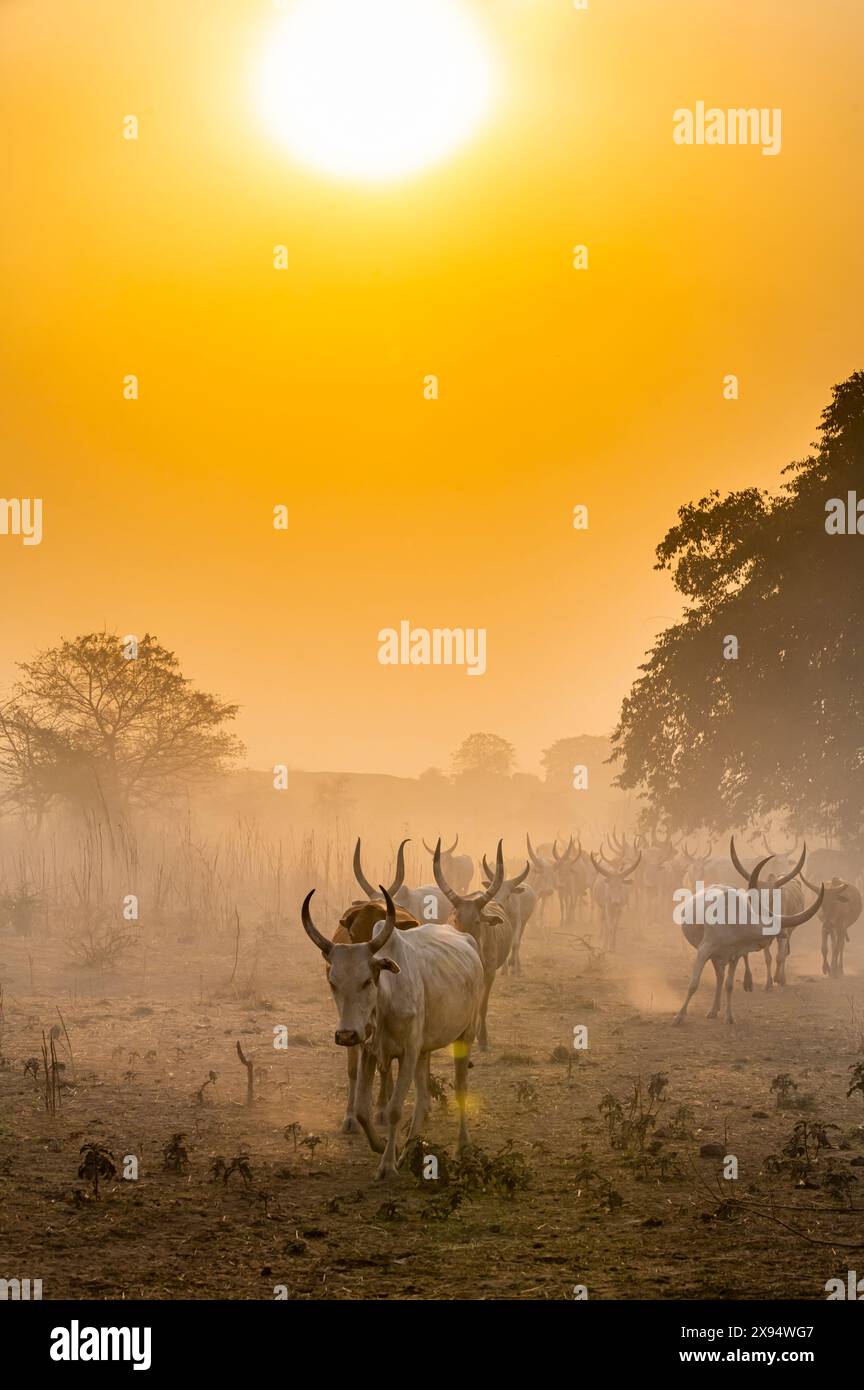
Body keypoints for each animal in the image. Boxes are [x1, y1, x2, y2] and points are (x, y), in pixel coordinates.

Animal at [302, 886, 484, 1180]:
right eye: (333, 982)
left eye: (367, 980)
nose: (346, 1035)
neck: (385, 1003)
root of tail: (467, 939)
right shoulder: (371, 1050)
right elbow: (363, 1111)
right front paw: (384, 1147)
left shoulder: (407, 1052)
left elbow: (395, 1110)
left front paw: (387, 1165)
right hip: (424, 1049)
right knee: (422, 1096)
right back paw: (409, 1148)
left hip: (464, 1036)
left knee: (460, 1089)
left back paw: (463, 1146)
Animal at [673, 852, 824, 1024]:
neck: (736, 924)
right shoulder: (704, 951)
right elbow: (693, 984)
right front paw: (679, 1016)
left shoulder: (734, 956)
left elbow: (729, 985)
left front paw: (729, 1016)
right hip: (713, 954)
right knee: (718, 977)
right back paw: (712, 1009)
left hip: (719, 957)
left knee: (720, 978)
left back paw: (714, 1010)